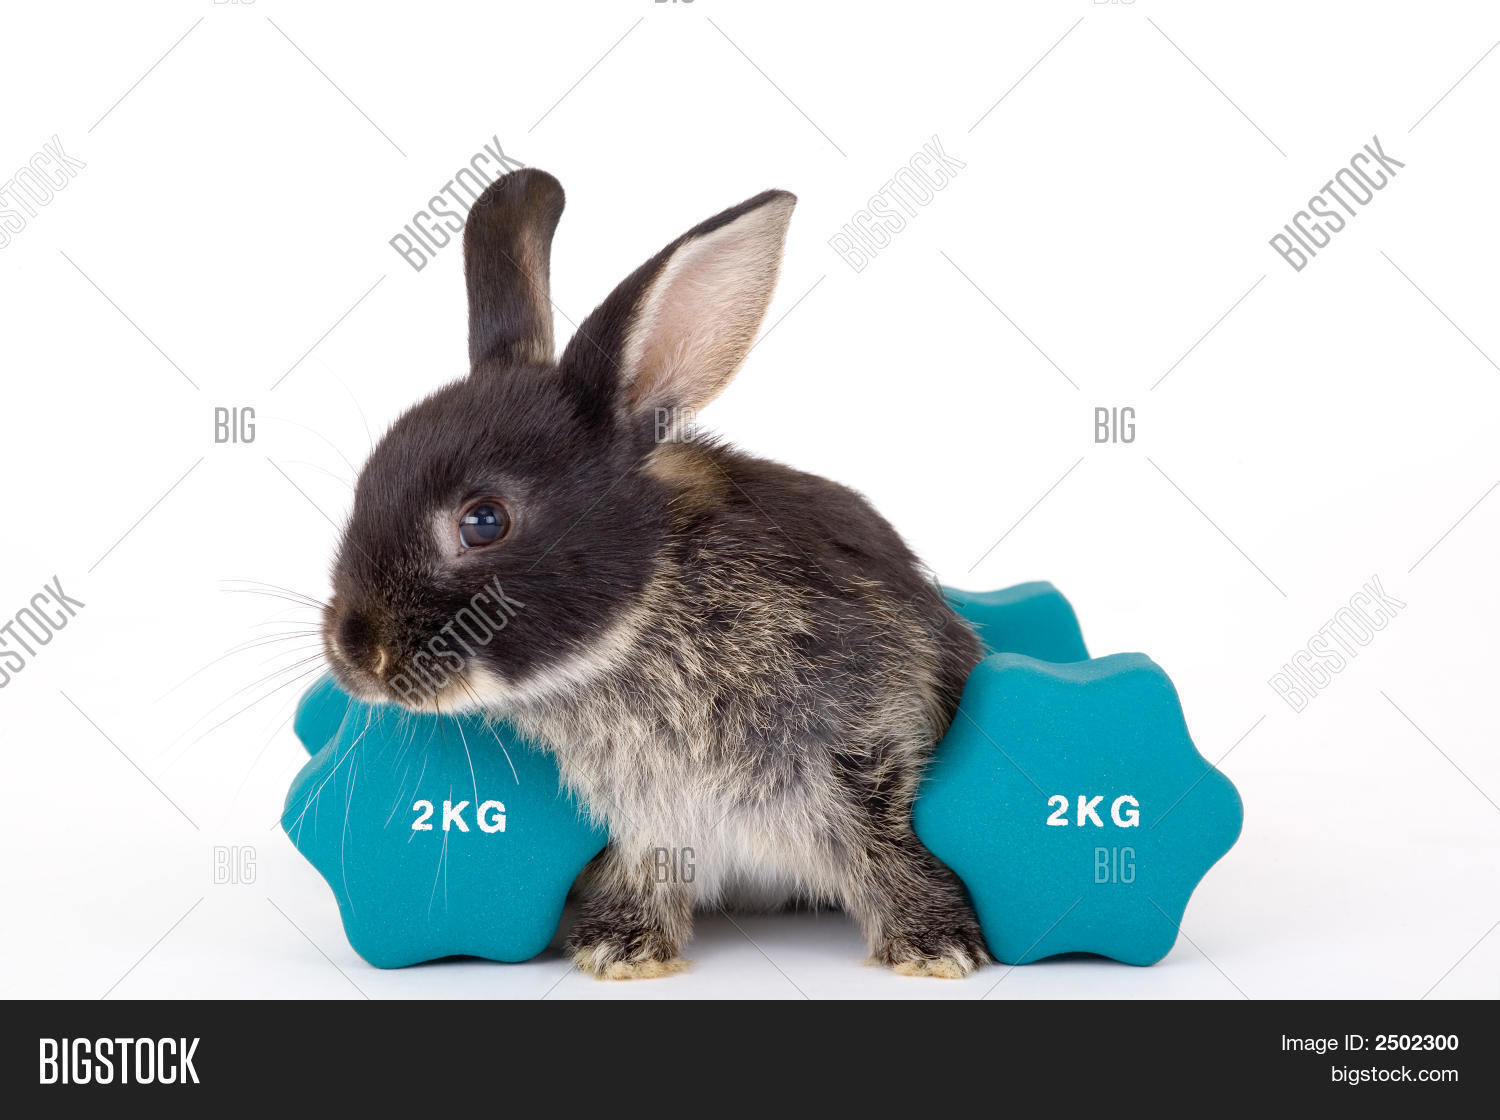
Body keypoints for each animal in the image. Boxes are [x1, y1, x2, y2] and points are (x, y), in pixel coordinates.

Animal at [321, 168, 990, 979]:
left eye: (483, 521)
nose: (359, 654)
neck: (645, 618)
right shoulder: (645, 822)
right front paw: (623, 951)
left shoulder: (873, 749)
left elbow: (887, 845)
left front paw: (935, 948)